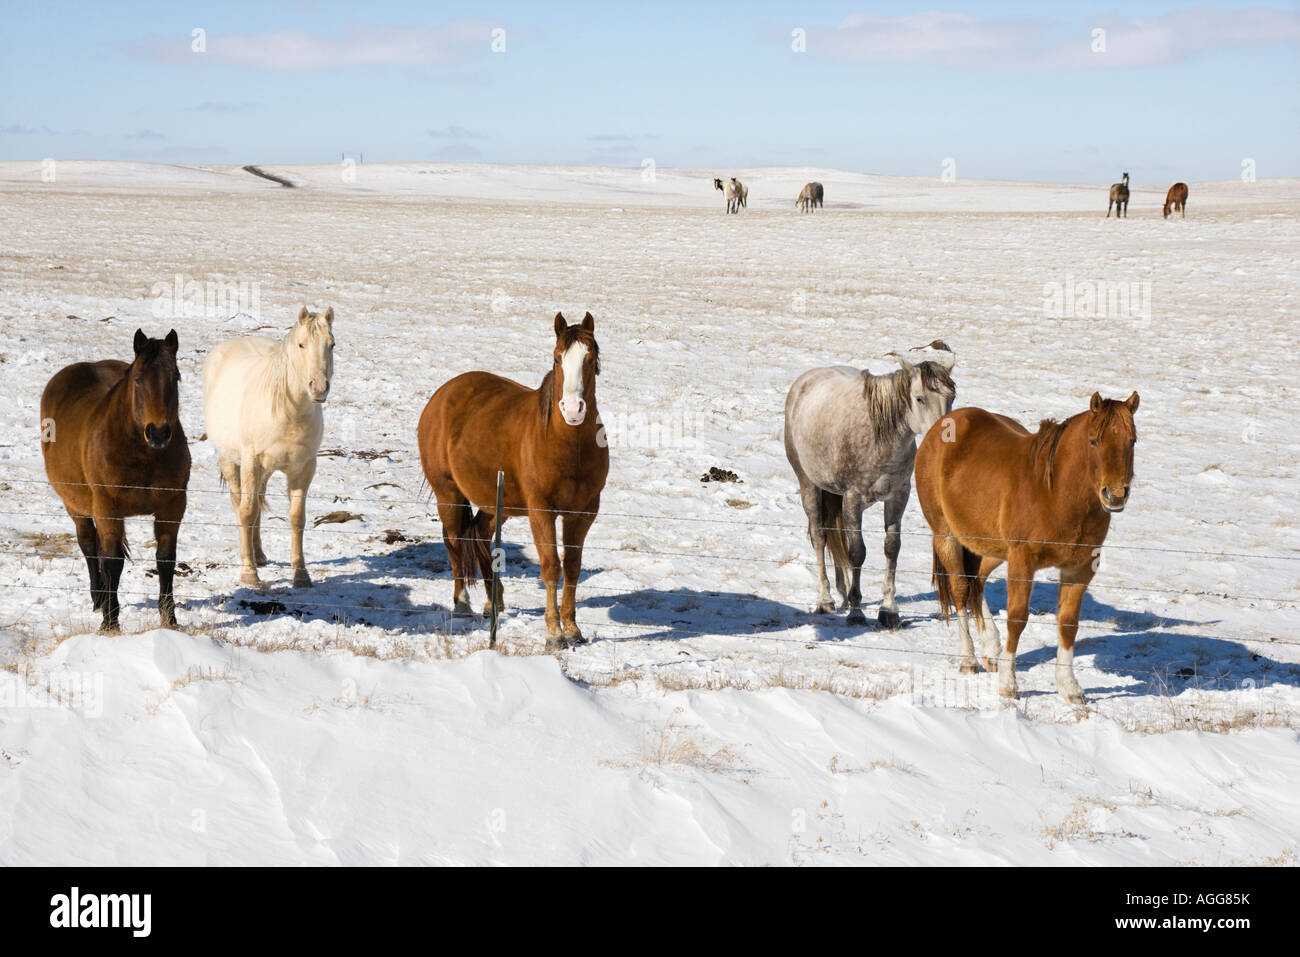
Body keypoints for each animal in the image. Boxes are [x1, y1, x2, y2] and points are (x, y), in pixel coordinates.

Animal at [40, 329, 190, 633]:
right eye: (138, 379)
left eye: (176, 377)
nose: (158, 433)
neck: (143, 454)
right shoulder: (108, 508)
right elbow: (112, 562)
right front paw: (110, 623)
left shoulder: (172, 507)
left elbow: (165, 561)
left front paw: (169, 620)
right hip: (76, 506)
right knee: (88, 545)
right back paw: (99, 600)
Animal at [202, 306, 335, 589]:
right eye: (301, 344)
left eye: (331, 344)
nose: (318, 388)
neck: (289, 414)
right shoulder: (250, 462)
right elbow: (247, 511)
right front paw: (249, 574)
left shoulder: (303, 468)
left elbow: (296, 518)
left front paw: (301, 575)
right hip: (232, 462)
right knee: (240, 503)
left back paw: (260, 554)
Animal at [417, 312, 609, 650]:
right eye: (557, 358)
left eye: (591, 358)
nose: (573, 410)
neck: (567, 445)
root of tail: (443, 394)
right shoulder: (541, 511)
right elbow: (551, 566)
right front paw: (554, 633)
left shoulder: (583, 512)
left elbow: (572, 567)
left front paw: (573, 629)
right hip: (448, 494)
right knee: (454, 541)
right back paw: (462, 603)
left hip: (496, 502)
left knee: (480, 534)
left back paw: (493, 602)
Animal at [784, 346, 956, 628]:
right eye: (919, 398)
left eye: (951, 397)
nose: (943, 440)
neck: (880, 439)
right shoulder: (853, 499)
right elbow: (857, 553)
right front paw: (856, 612)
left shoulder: (898, 496)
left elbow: (892, 548)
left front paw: (888, 610)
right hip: (809, 485)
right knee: (820, 537)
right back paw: (826, 599)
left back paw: (842, 593)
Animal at [914, 391, 1139, 704]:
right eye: (1094, 441)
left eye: (1132, 441)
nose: (1115, 495)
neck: (1055, 494)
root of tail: (941, 425)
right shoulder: (1023, 561)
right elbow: (1017, 619)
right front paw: (1008, 684)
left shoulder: (1080, 569)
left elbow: (1068, 623)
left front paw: (1070, 687)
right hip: (946, 536)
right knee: (961, 590)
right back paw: (969, 659)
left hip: (992, 548)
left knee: (977, 583)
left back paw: (991, 651)